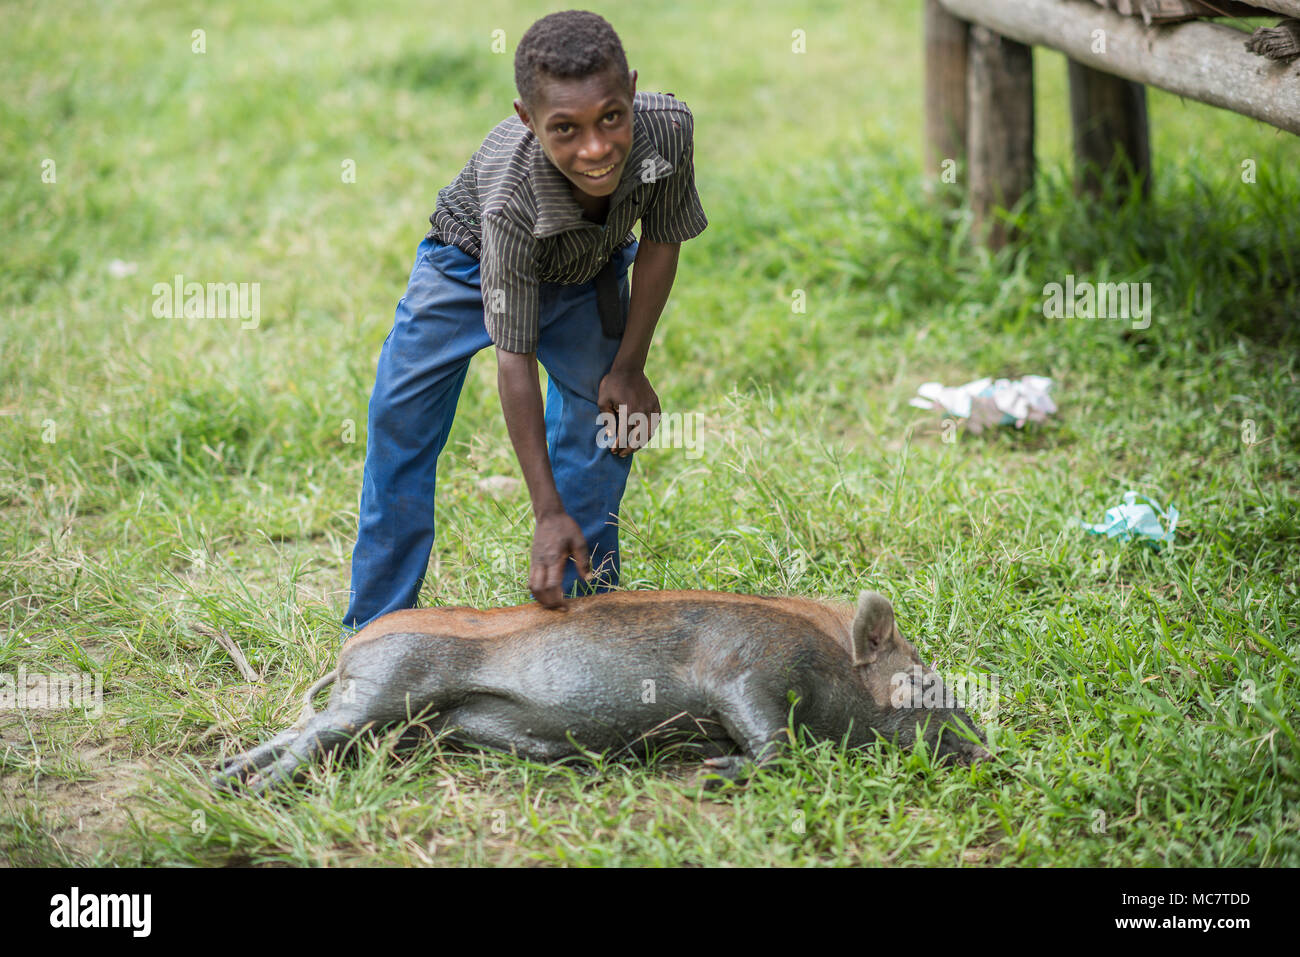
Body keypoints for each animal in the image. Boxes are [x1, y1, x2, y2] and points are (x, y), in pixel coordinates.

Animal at [213, 590, 991, 794]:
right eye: (922, 680)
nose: (987, 747)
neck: (830, 662)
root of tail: (348, 649)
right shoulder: (744, 674)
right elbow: (777, 745)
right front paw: (712, 772)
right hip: (387, 690)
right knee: (312, 737)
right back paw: (253, 790)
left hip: (383, 708)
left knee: (299, 731)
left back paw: (224, 777)